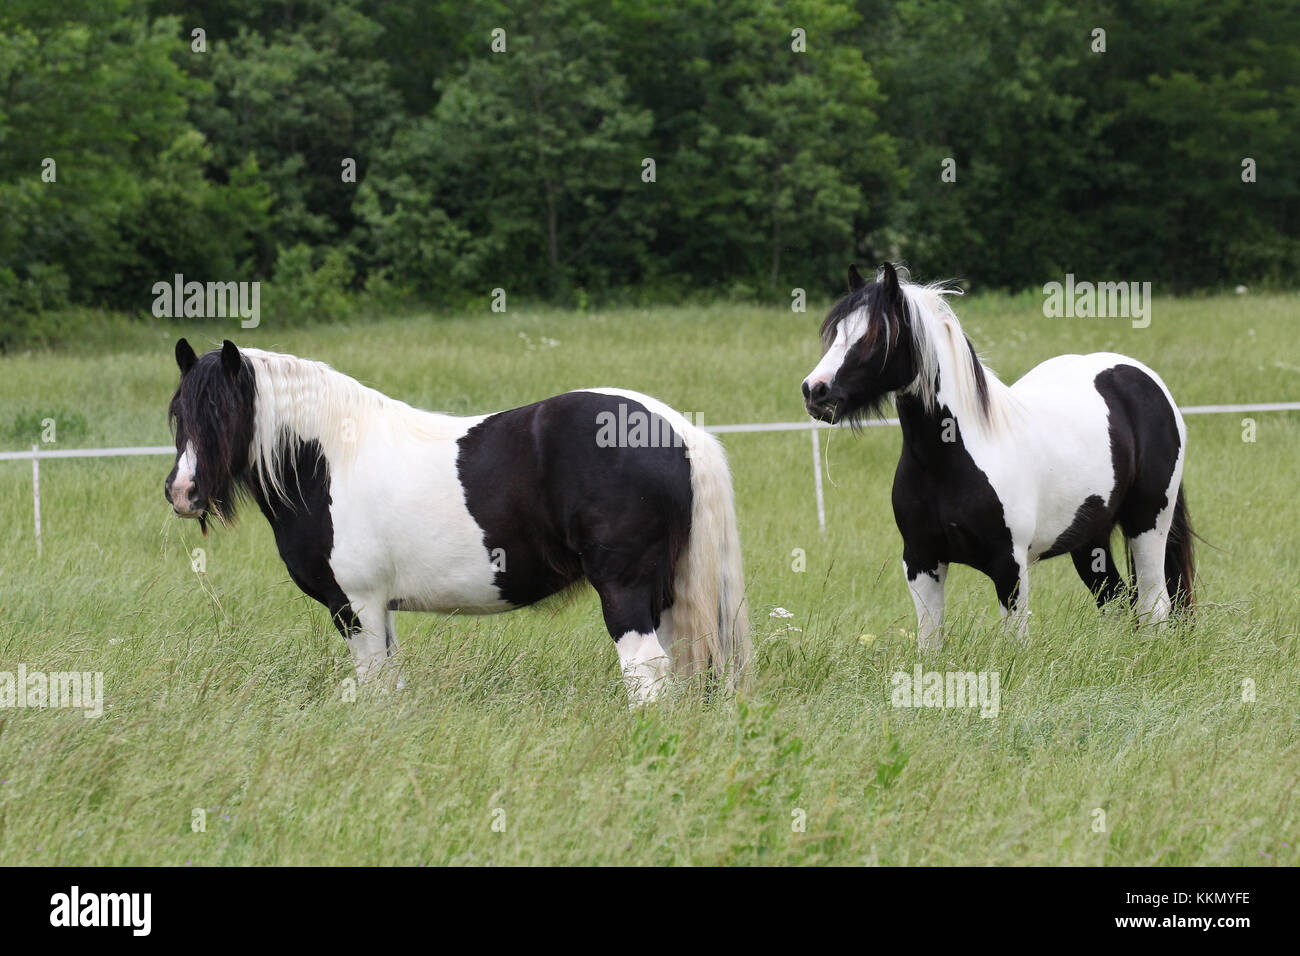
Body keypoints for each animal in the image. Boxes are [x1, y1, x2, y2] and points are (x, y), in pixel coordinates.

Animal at [164, 339, 750, 703]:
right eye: (179, 413)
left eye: (223, 413)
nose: (182, 492)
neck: (331, 460)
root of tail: (679, 431)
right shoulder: (380, 608)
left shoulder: (356, 605)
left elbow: (373, 686)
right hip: (668, 594)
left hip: (625, 593)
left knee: (647, 673)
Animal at [801, 263, 1194, 648]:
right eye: (837, 333)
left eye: (875, 336)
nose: (814, 391)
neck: (950, 461)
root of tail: (1144, 379)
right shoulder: (921, 561)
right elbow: (930, 643)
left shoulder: (1010, 565)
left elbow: (1015, 644)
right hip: (1089, 539)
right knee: (1115, 599)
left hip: (1147, 524)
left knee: (1154, 604)